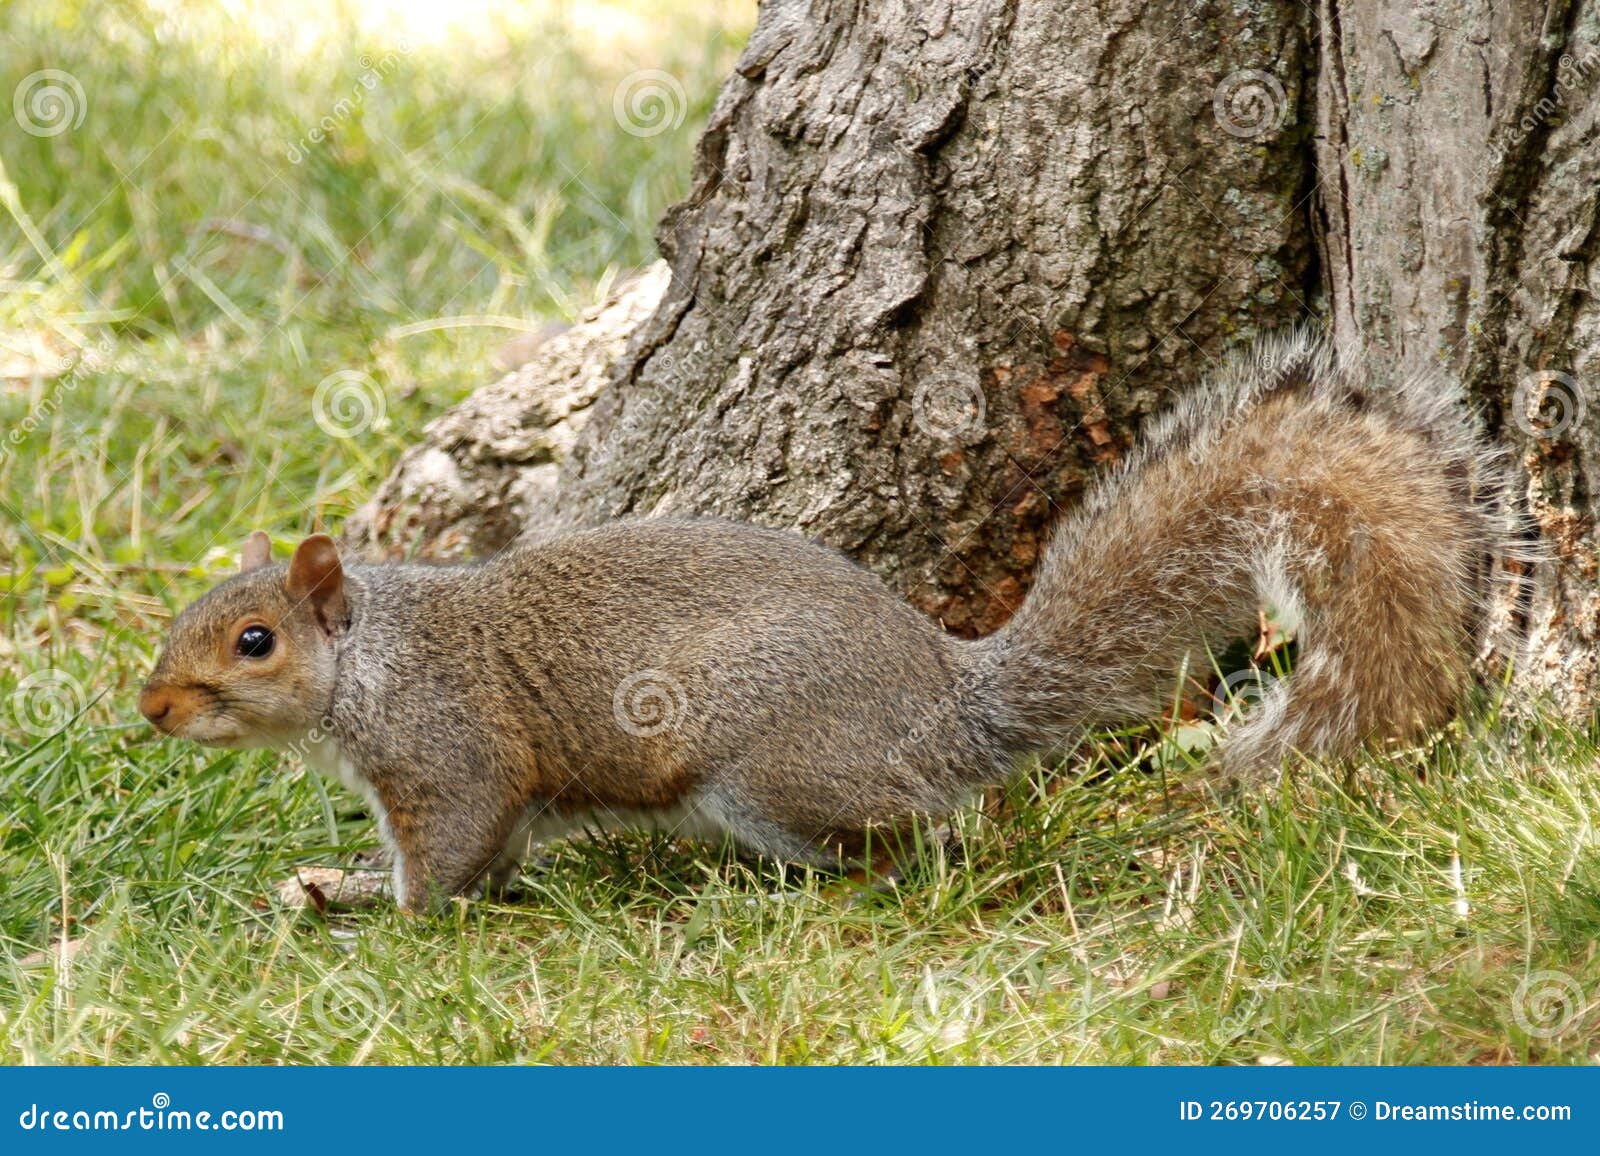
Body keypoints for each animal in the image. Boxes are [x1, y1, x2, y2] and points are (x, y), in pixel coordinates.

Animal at [138, 330, 1517, 912]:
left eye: (255, 641)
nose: (150, 707)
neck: (376, 655)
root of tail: (954, 707)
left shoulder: (450, 752)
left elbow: (456, 853)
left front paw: (386, 914)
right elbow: (490, 854)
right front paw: (333, 879)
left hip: (772, 768)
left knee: (911, 845)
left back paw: (785, 897)